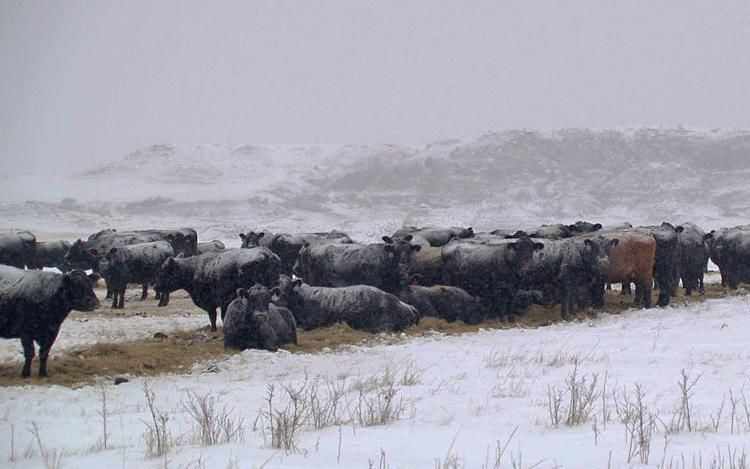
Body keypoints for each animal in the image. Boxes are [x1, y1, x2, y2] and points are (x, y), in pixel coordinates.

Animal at [154, 248, 282, 331]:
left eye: (164, 269)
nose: (155, 286)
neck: (194, 270)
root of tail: (267, 254)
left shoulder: (214, 302)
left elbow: (215, 317)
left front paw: (214, 330)